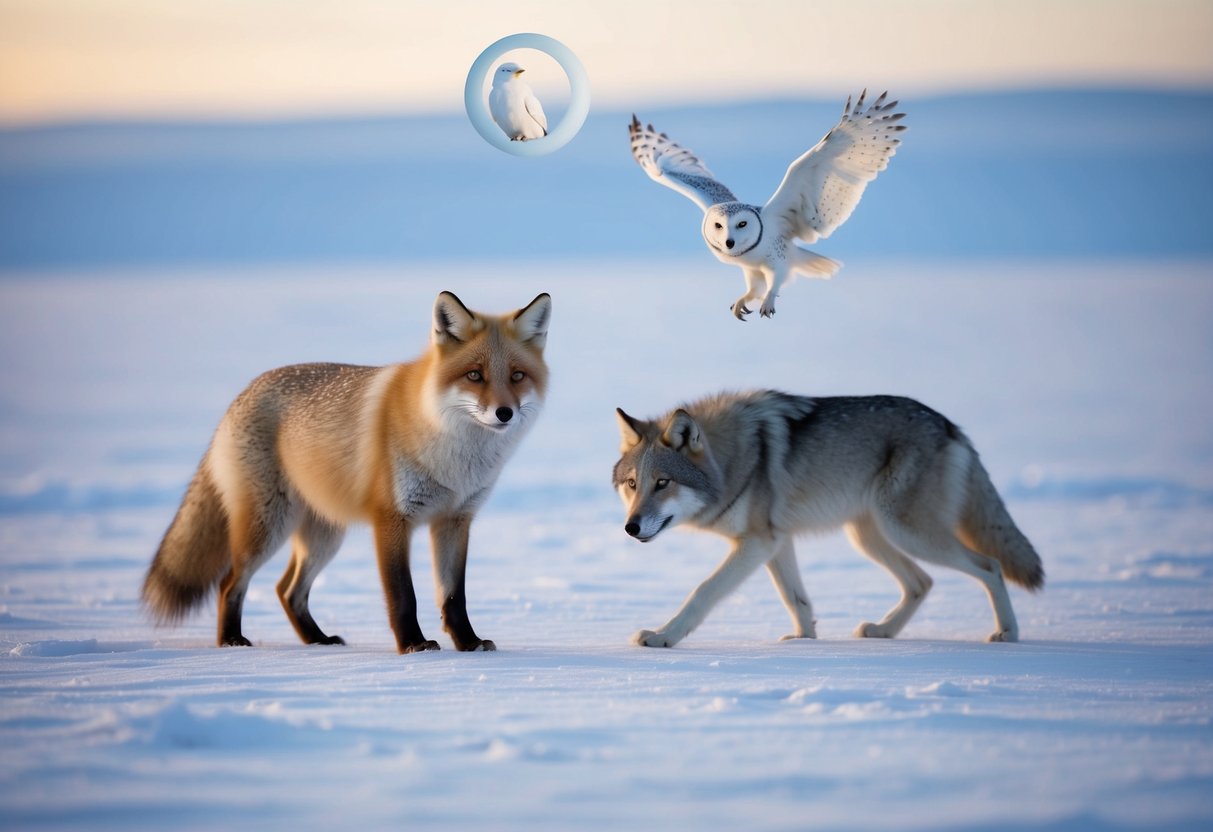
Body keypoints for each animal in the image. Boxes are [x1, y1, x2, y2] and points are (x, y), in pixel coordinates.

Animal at [142, 290, 551, 653]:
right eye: (474, 375)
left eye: (517, 376)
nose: (504, 413)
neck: (453, 458)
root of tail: (242, 394)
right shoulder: (391, 519)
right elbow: (404, 595)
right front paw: (414, 646)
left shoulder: (454, 520)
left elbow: (454, 596)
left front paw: (468, 644)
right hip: (268, 528)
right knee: (230, 584)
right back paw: (231, 641)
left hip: (324, 535)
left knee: (287, 591)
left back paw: (318, 641)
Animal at [613, 390, 1044, 648]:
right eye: (633, 484)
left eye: (663, 482)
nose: (631, 527)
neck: (736, 458)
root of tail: (951, 426)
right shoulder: (775, 542)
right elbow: (796, 597)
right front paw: (805, 640)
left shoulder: (757, 542)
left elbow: (703, 591)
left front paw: (663, 636)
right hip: (869, 537)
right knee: (922, 582)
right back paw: (883, 631)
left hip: (908, 533)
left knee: (990, 566)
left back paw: (1008, 632)